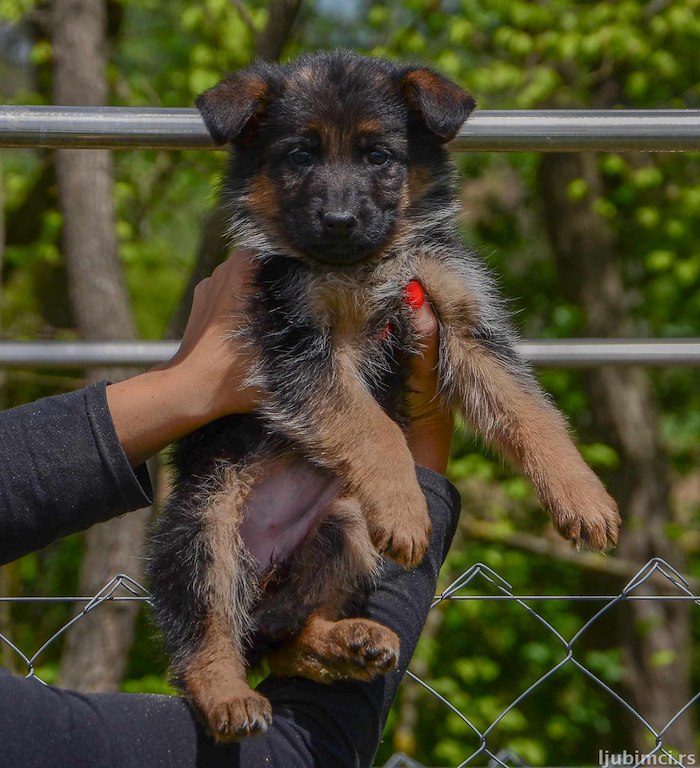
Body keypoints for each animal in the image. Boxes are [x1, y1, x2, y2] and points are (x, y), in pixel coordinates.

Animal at [146, 51, 616, 740]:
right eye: (300, 155)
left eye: (378, 156)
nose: (340, 222)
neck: (358, 266)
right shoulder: (298, 347)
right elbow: (374, 427)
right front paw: (405, 509)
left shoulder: (463, 321)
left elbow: (531, 411)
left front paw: (582, 496)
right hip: (203, 525)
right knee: (209, 632)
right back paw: (228, 694)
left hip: (342, 530)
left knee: (283, 636)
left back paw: (345, 642)